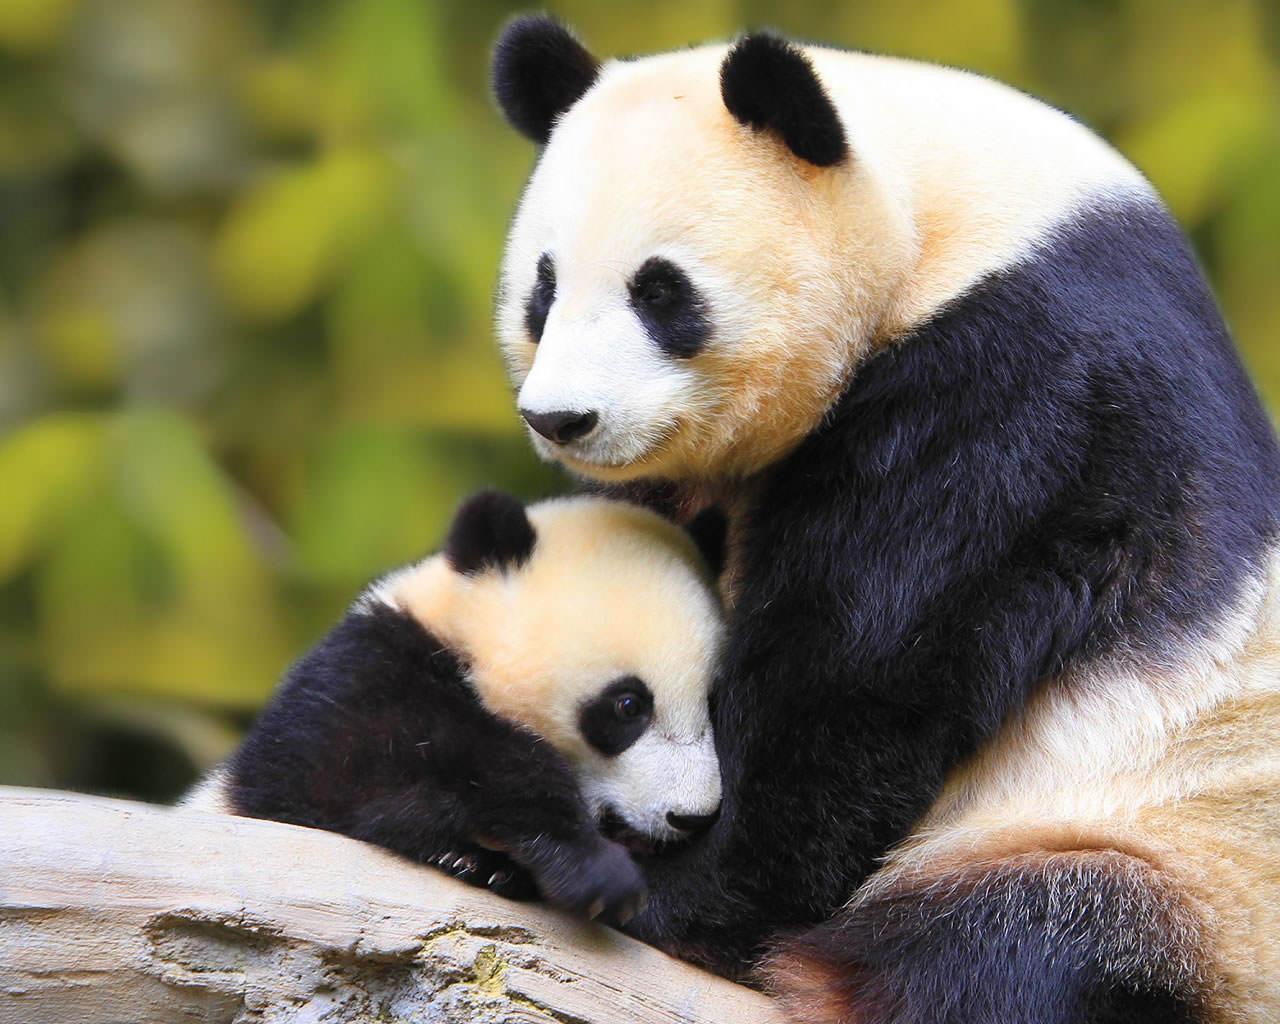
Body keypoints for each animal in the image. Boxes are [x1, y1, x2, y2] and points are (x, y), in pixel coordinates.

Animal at [184, 490, 725, 925]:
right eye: (628, 706)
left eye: (712, 702)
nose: (692, 817)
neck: (460, 640)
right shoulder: (354, 682)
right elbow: (351, 776)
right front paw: (592, 869)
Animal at [490, 16, 1280, 1024]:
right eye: (542, 290)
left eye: (660, 292)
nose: (563, 419)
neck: (936, 218)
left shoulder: (1018, 385)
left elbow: (858, 670)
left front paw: (656, 887)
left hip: (1176, 853)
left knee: (1032, 944)